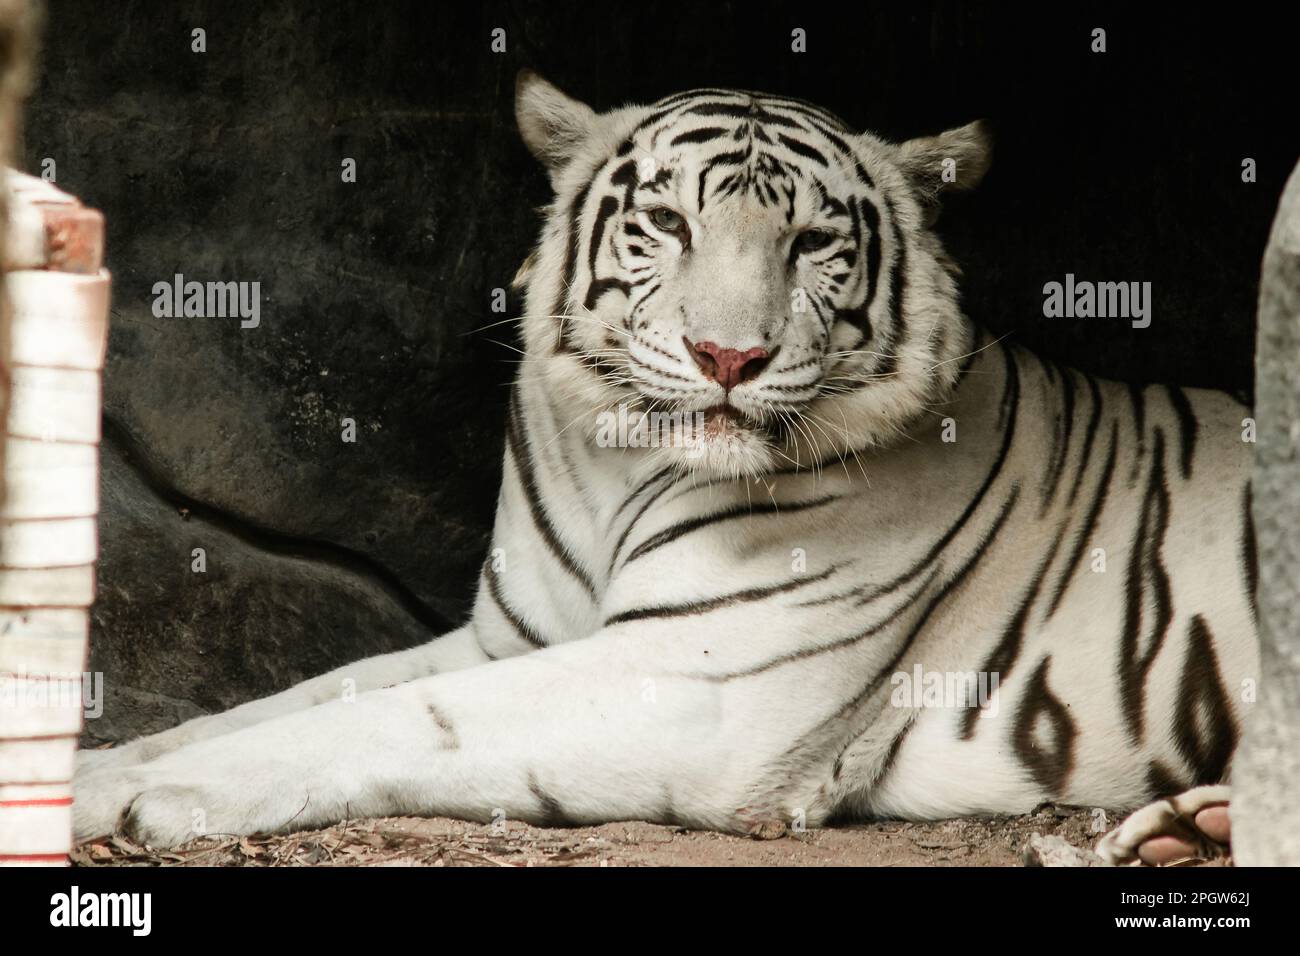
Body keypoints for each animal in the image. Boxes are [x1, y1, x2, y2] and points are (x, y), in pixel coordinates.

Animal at [74, 71, 1258, 866]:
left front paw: (148, 796)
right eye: (667, 222)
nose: (728, 356)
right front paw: (96, 767)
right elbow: (289, 696)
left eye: (811, 244)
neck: (614, 467)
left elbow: (393, 718)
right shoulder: (510, 634)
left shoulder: (702, 679)